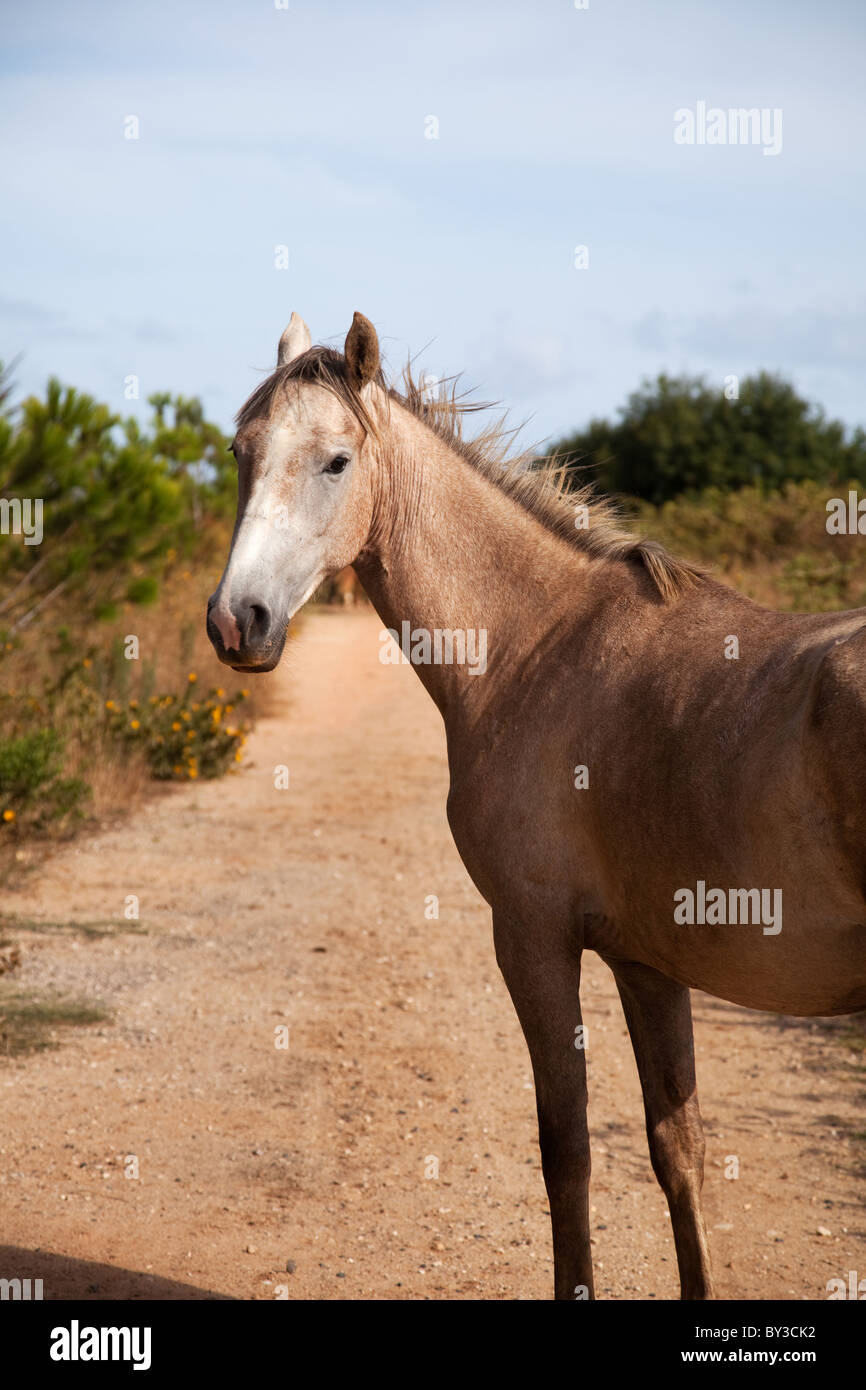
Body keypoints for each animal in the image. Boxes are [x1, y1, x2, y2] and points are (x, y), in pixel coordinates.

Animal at [207, 310, 866, 1300]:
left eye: (335, 461)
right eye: (242, 452)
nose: (234, 621)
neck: (537, 642)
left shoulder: (532, 940)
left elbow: (568, 1155)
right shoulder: (648, 964)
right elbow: (679, 1154)